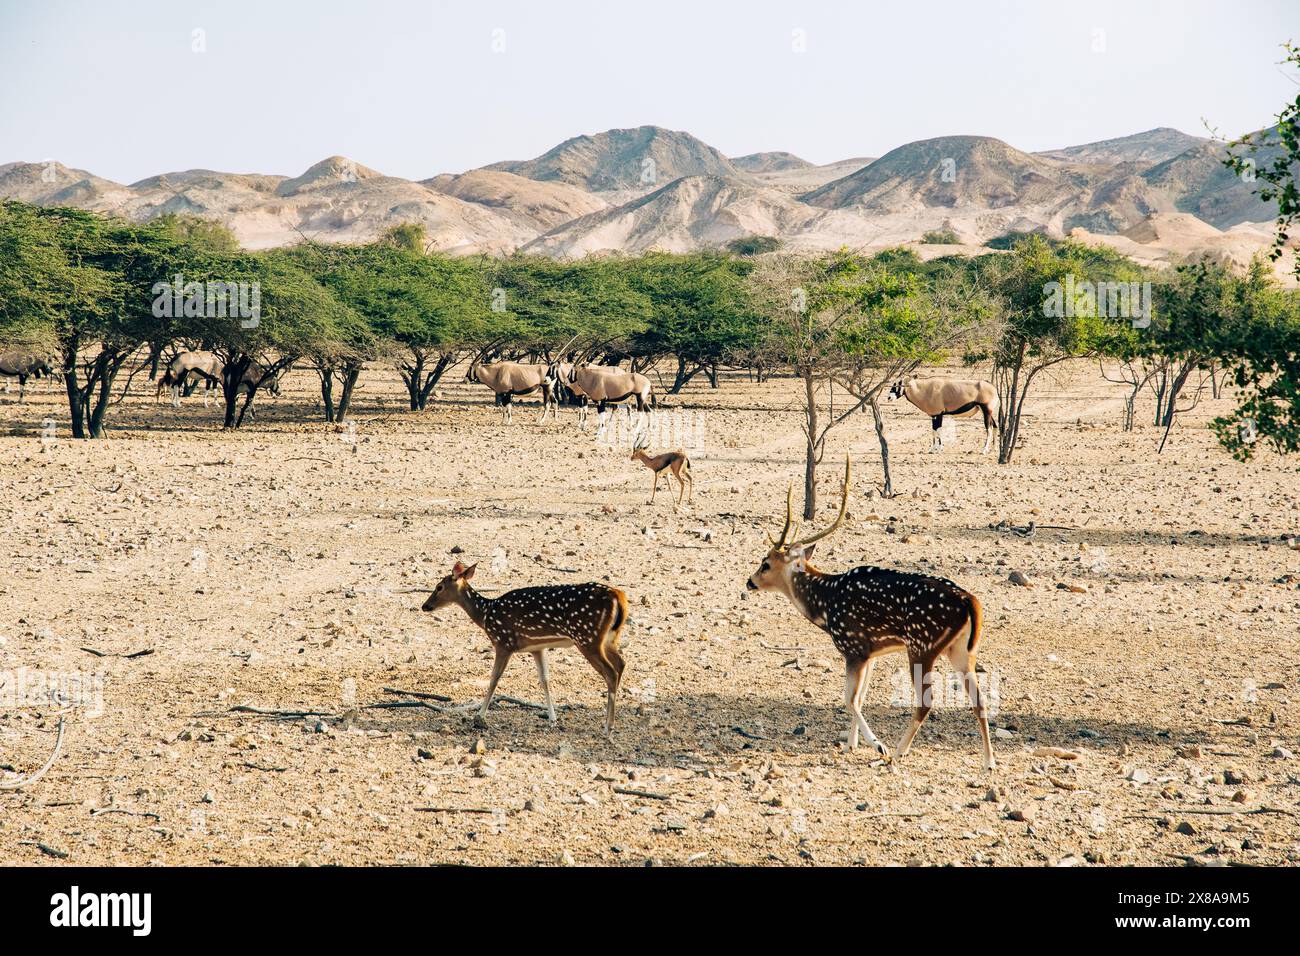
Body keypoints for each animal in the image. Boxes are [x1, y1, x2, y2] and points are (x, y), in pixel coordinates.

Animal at [421, 561, 629, 736]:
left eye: (439, 587)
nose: (425, 606)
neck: (486, 614)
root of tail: (618, 596)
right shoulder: (537, 648)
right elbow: (545, 679)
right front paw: (552, 718)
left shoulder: (503, 642)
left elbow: (494, 678)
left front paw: (479, 717)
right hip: (609, 638)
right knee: (621, 664)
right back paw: (611, 721)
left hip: (587, 637)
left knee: (610, 672)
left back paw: (608, 727)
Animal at [745, 457, 995, 770]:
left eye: (765, 563)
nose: (750, 581)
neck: (825, 606)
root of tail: (970, 601)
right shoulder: (871, 653)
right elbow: (860, 698)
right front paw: (850, 745)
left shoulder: (853, 647)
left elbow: (849, 699)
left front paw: (877, 745)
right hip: (961, 649)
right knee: (980, 700)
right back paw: (989, 762)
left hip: (922, 646)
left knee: (926, 702)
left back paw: (897, 754)